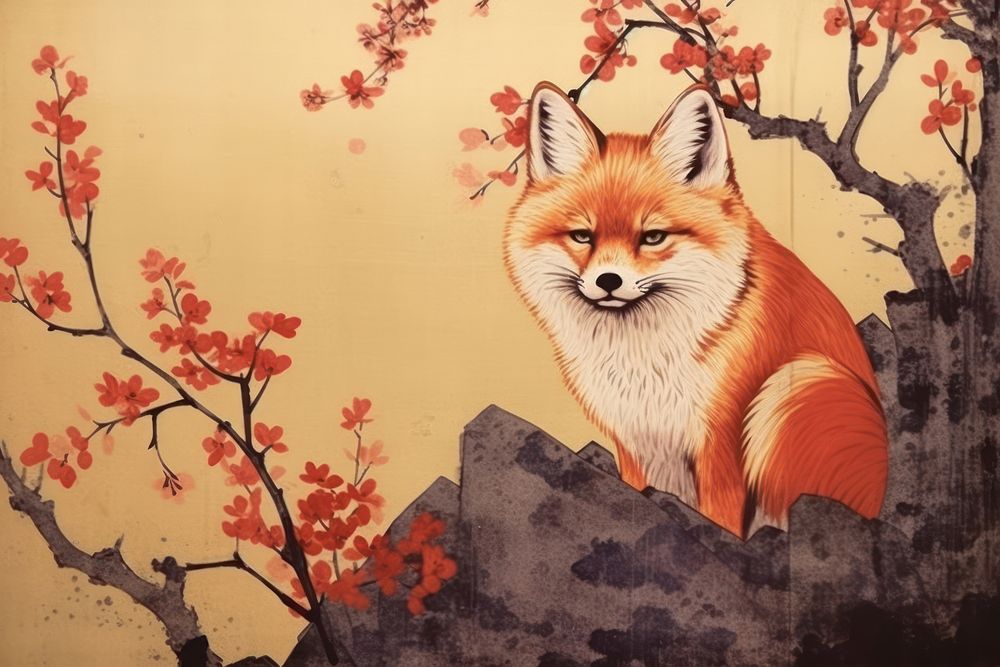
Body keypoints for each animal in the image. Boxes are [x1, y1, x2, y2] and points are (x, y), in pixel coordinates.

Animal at [503, 82, 888, 538]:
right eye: (582, 235)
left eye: (653, 236)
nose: (608, 281)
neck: (643, 360)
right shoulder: (634, 444)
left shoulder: (719, 448)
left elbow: (721, 519)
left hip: (796, 388)